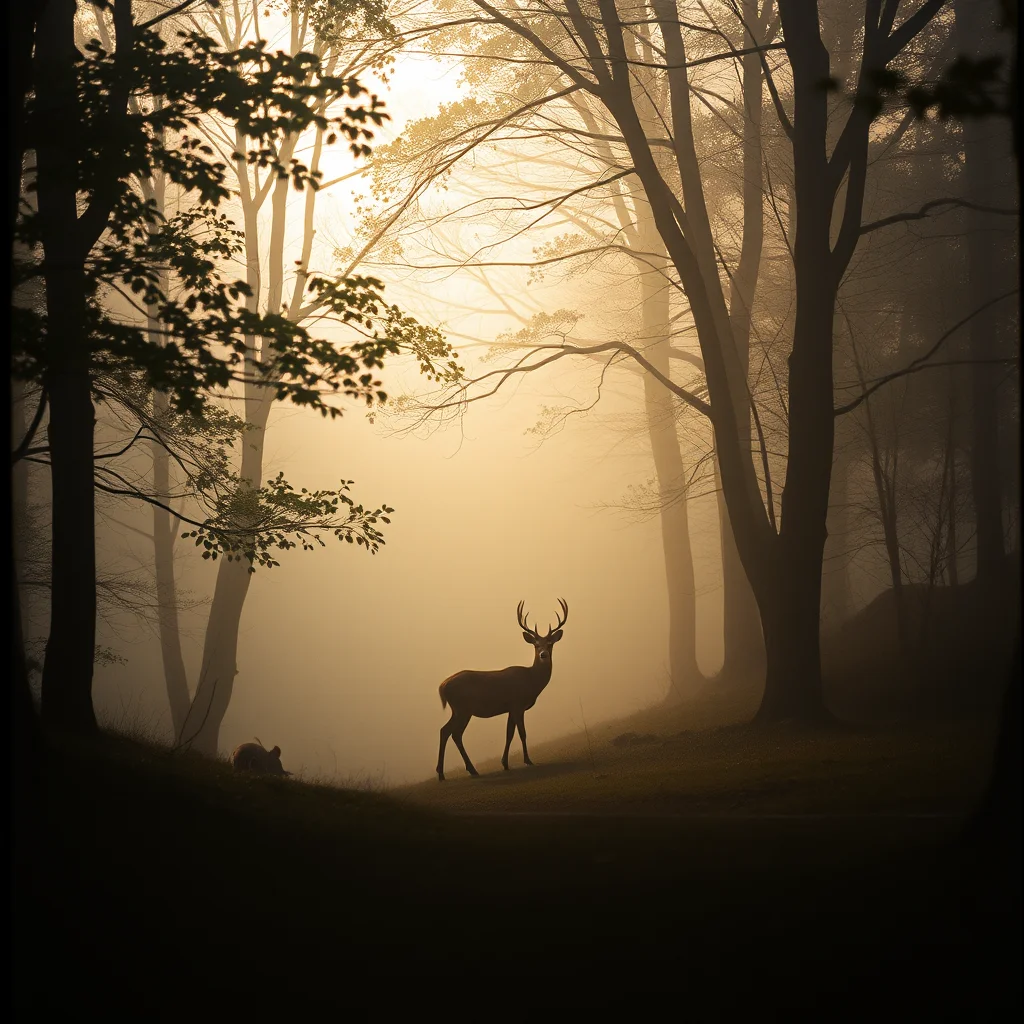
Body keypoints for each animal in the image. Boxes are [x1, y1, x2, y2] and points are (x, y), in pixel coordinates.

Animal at [436, 599, 568, 782]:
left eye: (550, 644)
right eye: (536, 645)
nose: (543, 654)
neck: (531, 680)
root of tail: (442, 686)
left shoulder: (511, 708)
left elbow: (509, 733)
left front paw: (505, 763)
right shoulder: (518, 704)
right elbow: (522, 733)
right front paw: (528, 760)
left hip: (458, 710)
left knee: (445, 731)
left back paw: (448, 772)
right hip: (463, 709)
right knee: (453, 732)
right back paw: (464, 770)